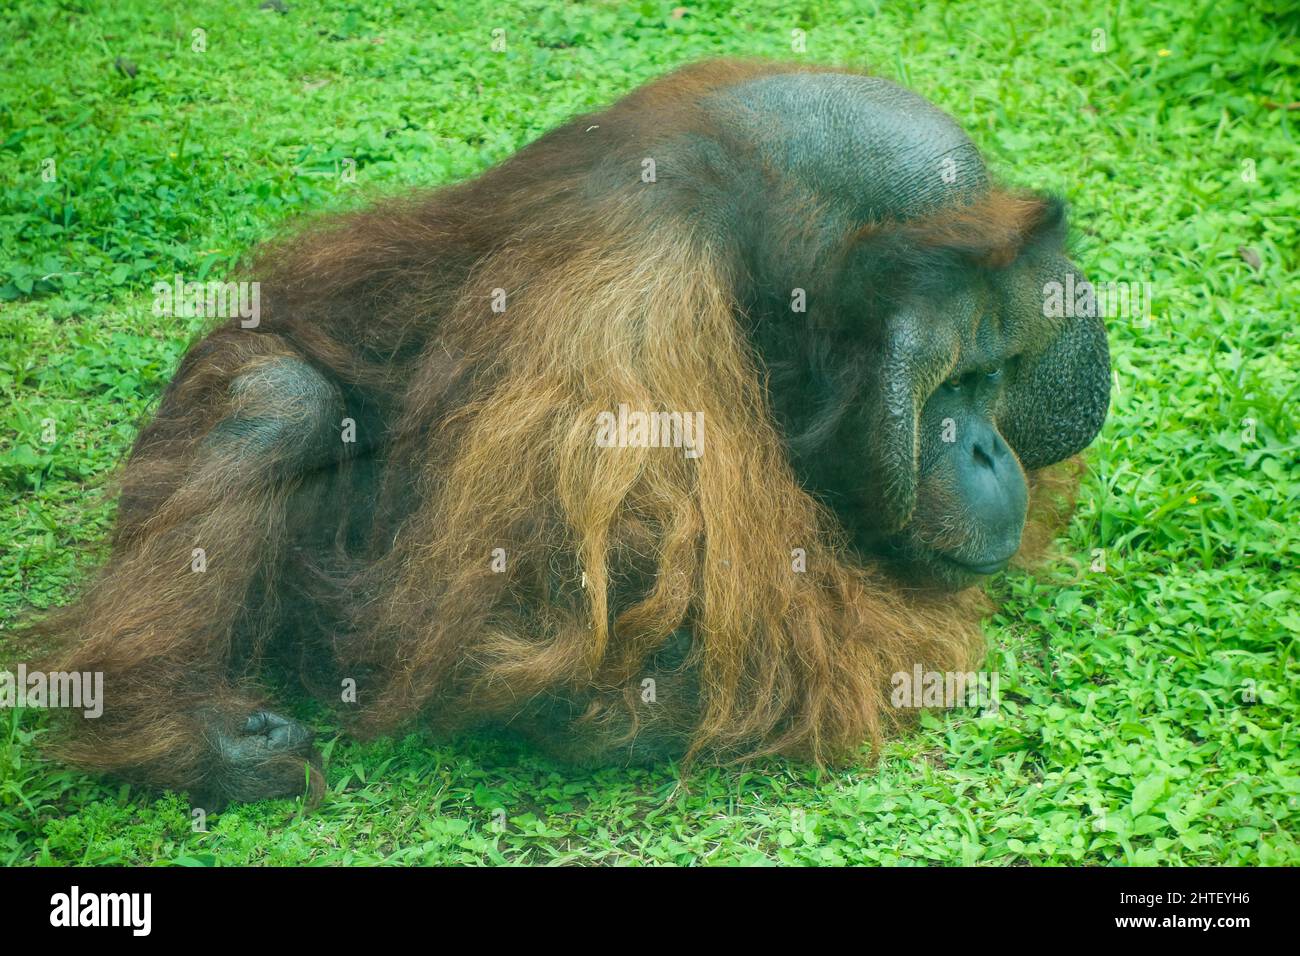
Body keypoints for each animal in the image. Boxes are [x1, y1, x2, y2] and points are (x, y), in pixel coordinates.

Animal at [32, 59, 1109, 807]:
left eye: (1001, 375)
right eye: (954, 383)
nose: (988, 448)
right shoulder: (623, 311)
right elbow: (571, 636)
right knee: (275, 398)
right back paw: (186, 736)